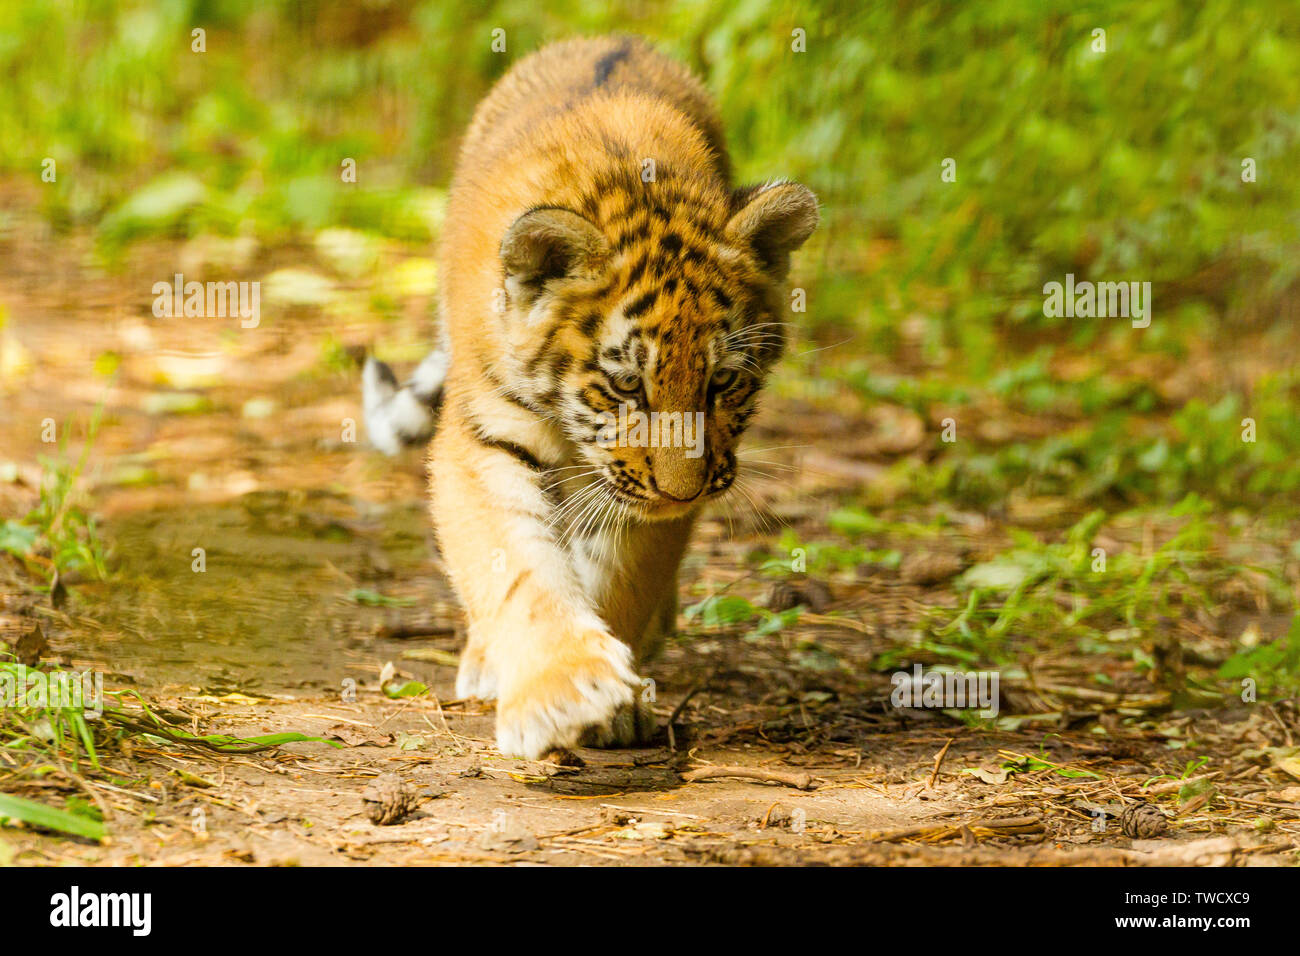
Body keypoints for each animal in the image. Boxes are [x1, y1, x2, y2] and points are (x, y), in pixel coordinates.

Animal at [363, 35, 817, 758]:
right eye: (626, 385)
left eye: (722, 381)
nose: (683, 493)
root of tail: (609, 38)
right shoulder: (481, 442)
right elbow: (519, 571)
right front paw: (567, 689)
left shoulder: (644, 495)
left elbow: (623, 576)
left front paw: (618, 697)